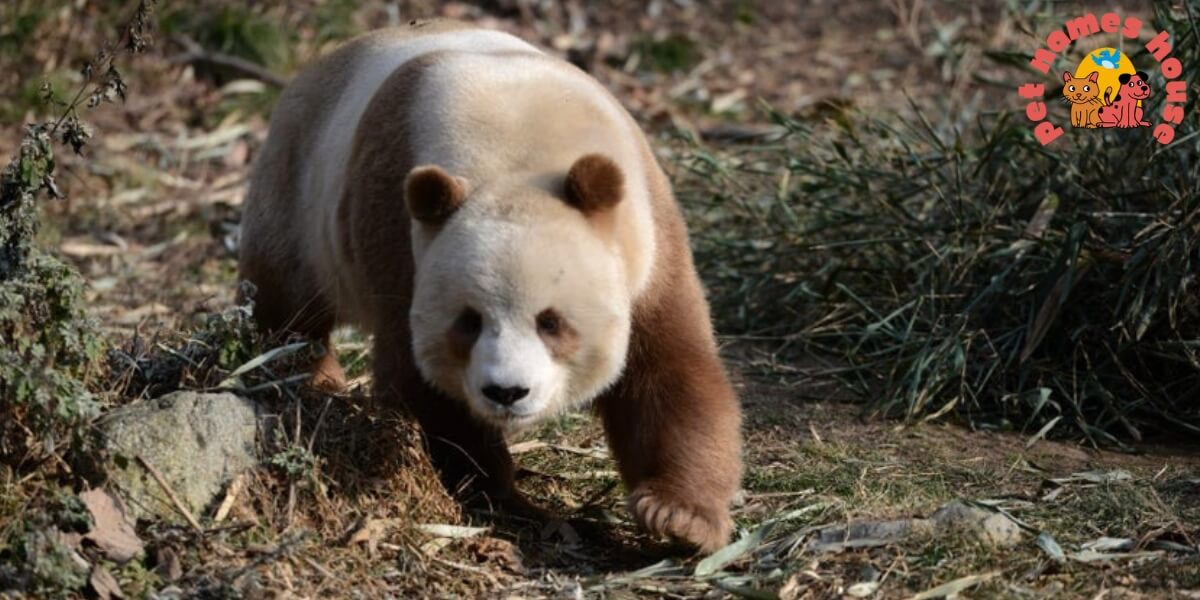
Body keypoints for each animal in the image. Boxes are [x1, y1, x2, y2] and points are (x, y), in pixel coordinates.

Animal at [238, 20, 743, 553]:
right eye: (469, 322)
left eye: (551, 322)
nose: (507, 392)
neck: (517, 154)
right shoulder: (398, 224)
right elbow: (421, 381)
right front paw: (504, 496)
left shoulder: (644, 233)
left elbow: (668, 367)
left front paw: (679, 517)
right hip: (300, 187)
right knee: (286, 307)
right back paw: (307, 379)